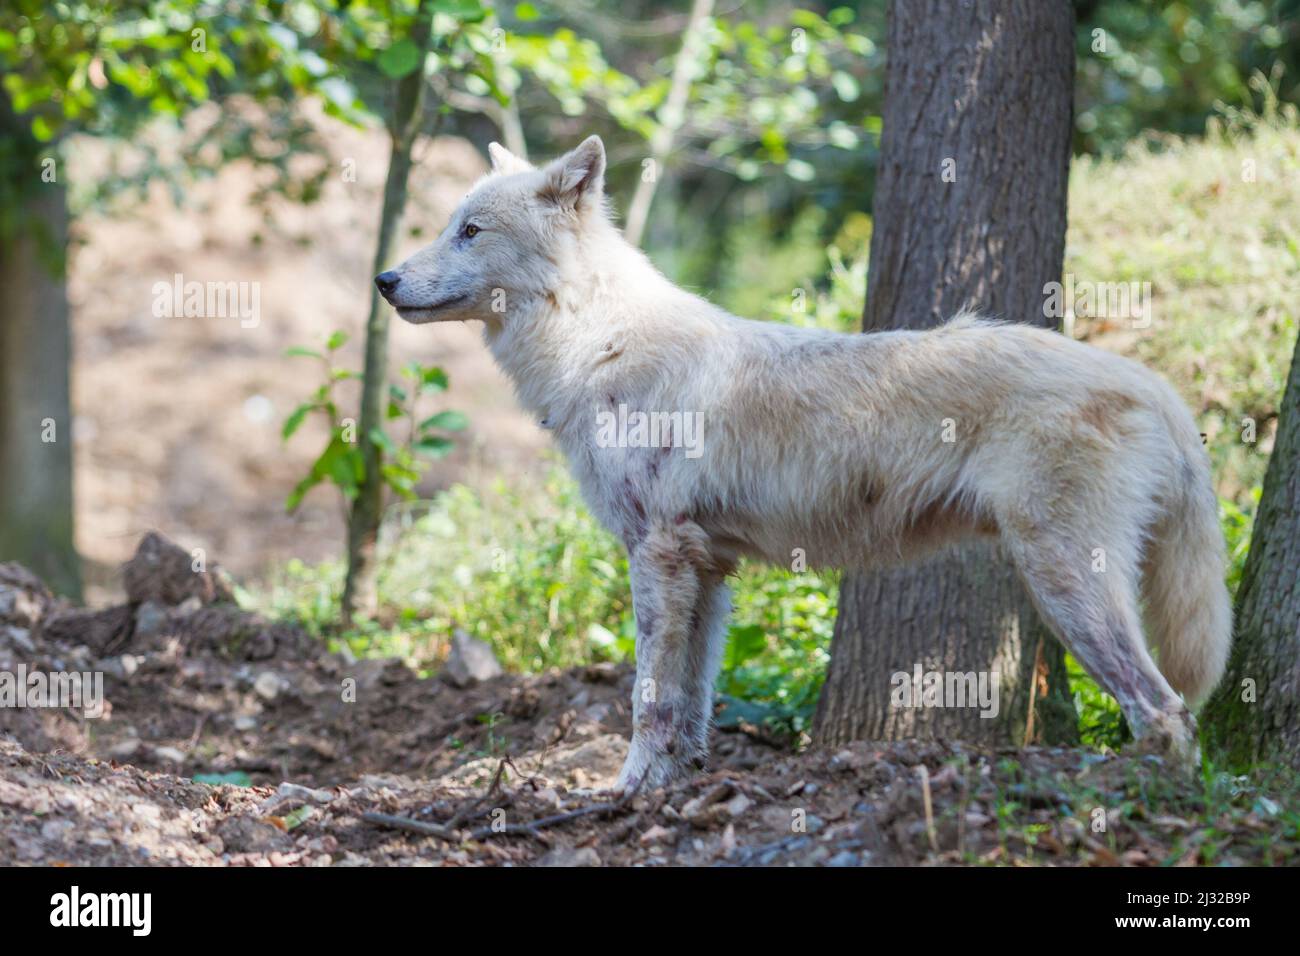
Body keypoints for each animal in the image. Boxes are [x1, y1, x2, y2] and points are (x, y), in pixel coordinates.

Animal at [376, 136, 1232, 790]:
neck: (599, 345)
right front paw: (670, 789)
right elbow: (692, 703)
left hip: (1065, 580)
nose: (383, 279)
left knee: (1165, 711)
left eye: (470, 230)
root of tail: (1154, 384)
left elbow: (648, 698)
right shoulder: (707, 569)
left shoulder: (656, 555)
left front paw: (624, 791)